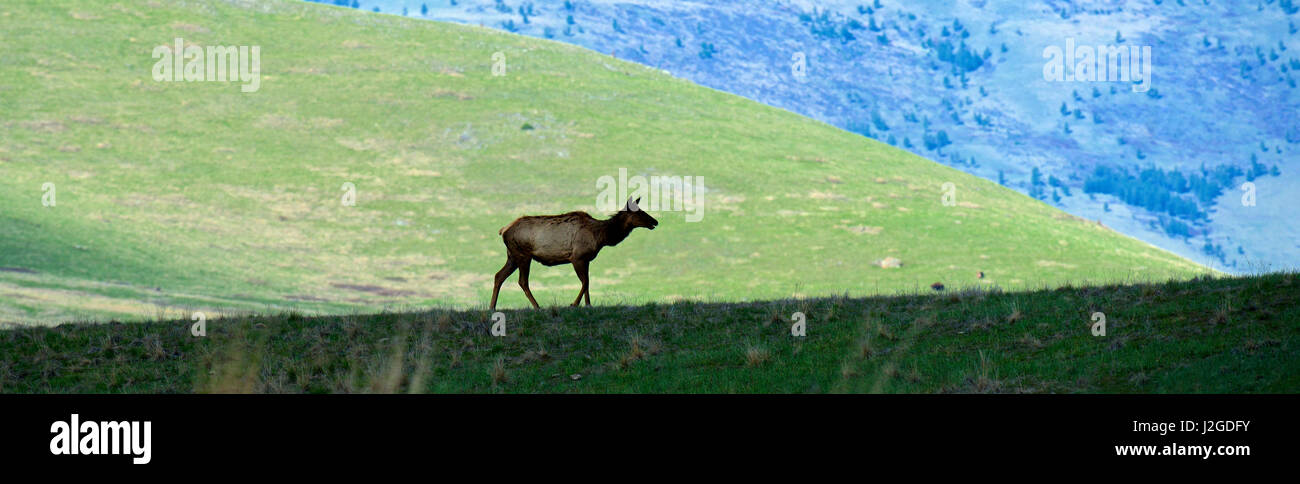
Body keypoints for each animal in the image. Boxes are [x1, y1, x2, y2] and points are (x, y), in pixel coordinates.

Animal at [489, 197, 658, 310]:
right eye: (639, 212)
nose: (655, 221)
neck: (600, 237)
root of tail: (503, 230)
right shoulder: (577, 257)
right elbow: (585, 282)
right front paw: (574, 304)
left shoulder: (587, 259)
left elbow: (587, 282)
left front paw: (588, 305)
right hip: (523, 254)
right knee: (522, 281)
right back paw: (537, 306)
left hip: (512, 256)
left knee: (499, 275)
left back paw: (492, 307)